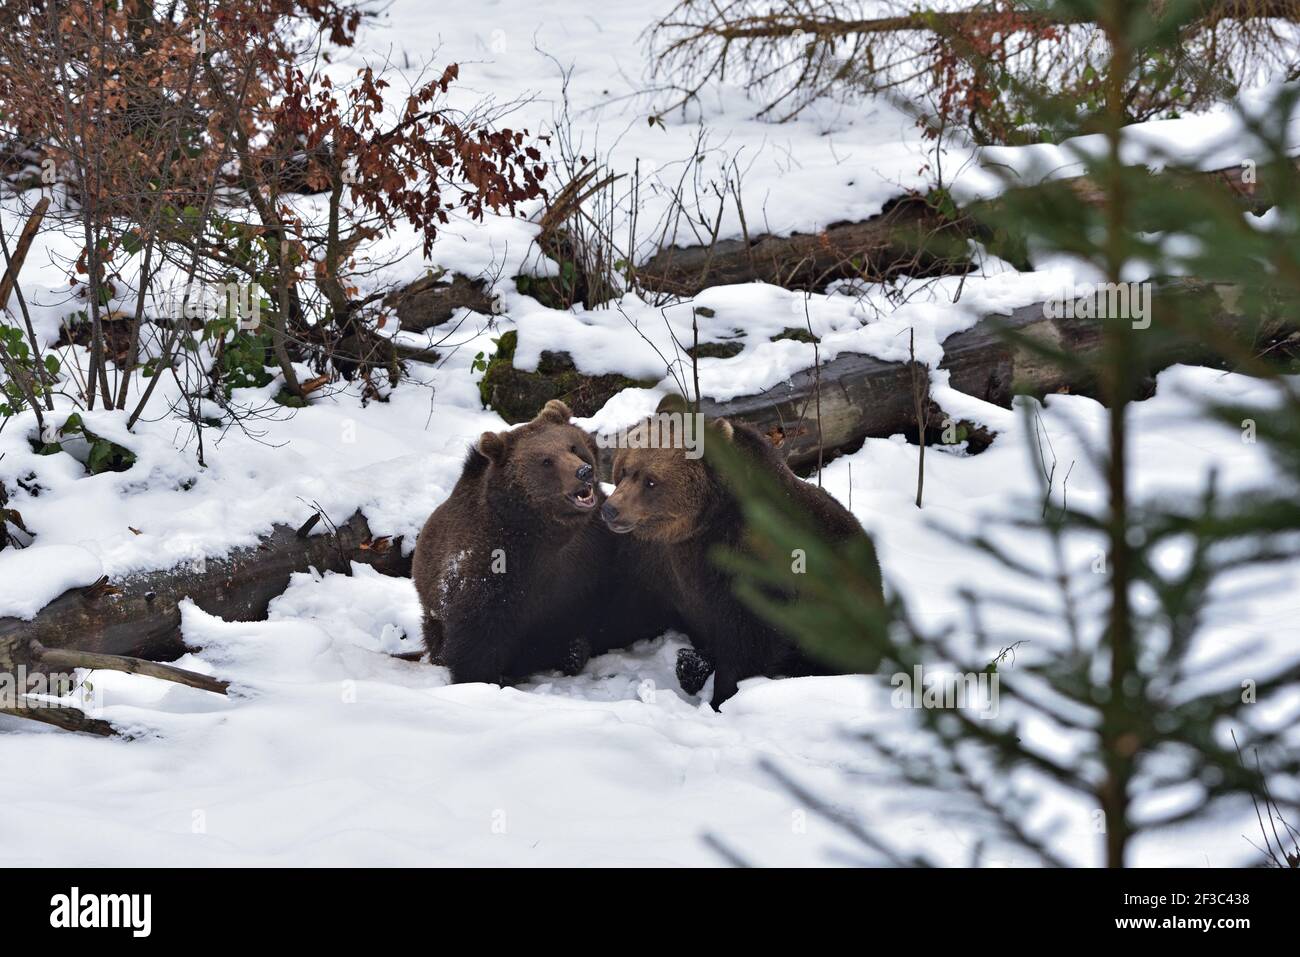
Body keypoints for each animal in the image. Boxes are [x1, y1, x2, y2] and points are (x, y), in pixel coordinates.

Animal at [413, 399, 617, 685]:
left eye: (573, 447)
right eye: (546, 460)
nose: (583, 471)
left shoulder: (592, 551)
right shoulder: (492, 567)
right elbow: (476, 635)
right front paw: (480, 678)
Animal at [600, 395, 883, 708]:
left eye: (651, 481)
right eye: (625, 469)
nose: (611, 509)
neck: (705, 526)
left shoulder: (756, 571)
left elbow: (749, 643)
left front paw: (721, 698)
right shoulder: (669, 569)